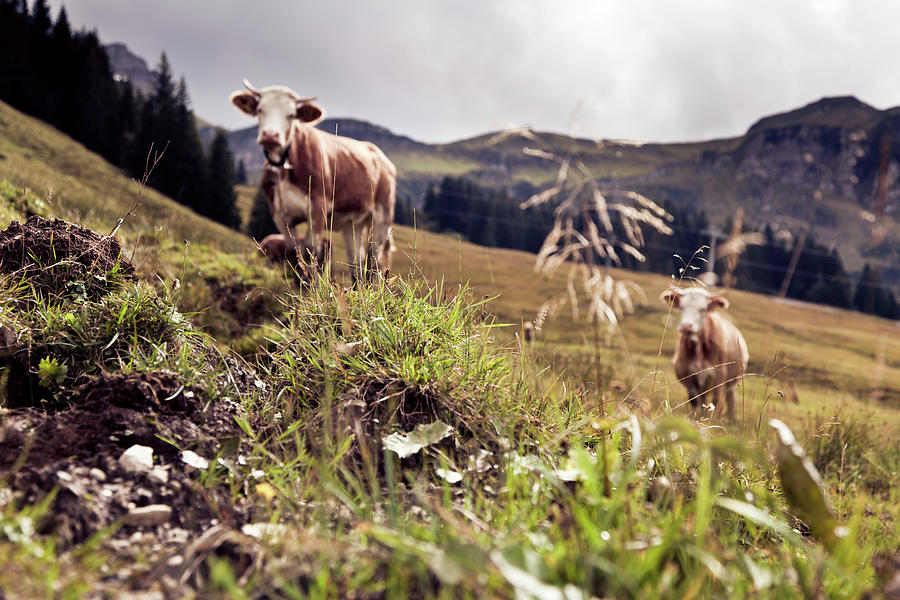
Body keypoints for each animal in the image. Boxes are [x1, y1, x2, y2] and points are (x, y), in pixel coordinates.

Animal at [230, 80, 396, 280]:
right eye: (260, 109)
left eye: (292, 115)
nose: (270, 135)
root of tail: (381, 157)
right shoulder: (279, 214)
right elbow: (294, 250)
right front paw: (300, 282)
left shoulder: (318, 206)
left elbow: (313, 249)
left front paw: (315, 285)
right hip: (352, 222)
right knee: (356, 260)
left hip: (382, 215)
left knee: (376, 259)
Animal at [660, 287, 749, 421]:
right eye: (681, 307)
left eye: (703, 309)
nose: (686, 326)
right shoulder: (687, 373)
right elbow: (694, 399)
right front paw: (695, 418)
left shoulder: (719, 373)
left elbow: (717, 400)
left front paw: (714, 419)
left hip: (732, 381)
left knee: (730, 399)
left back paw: (731, 418)